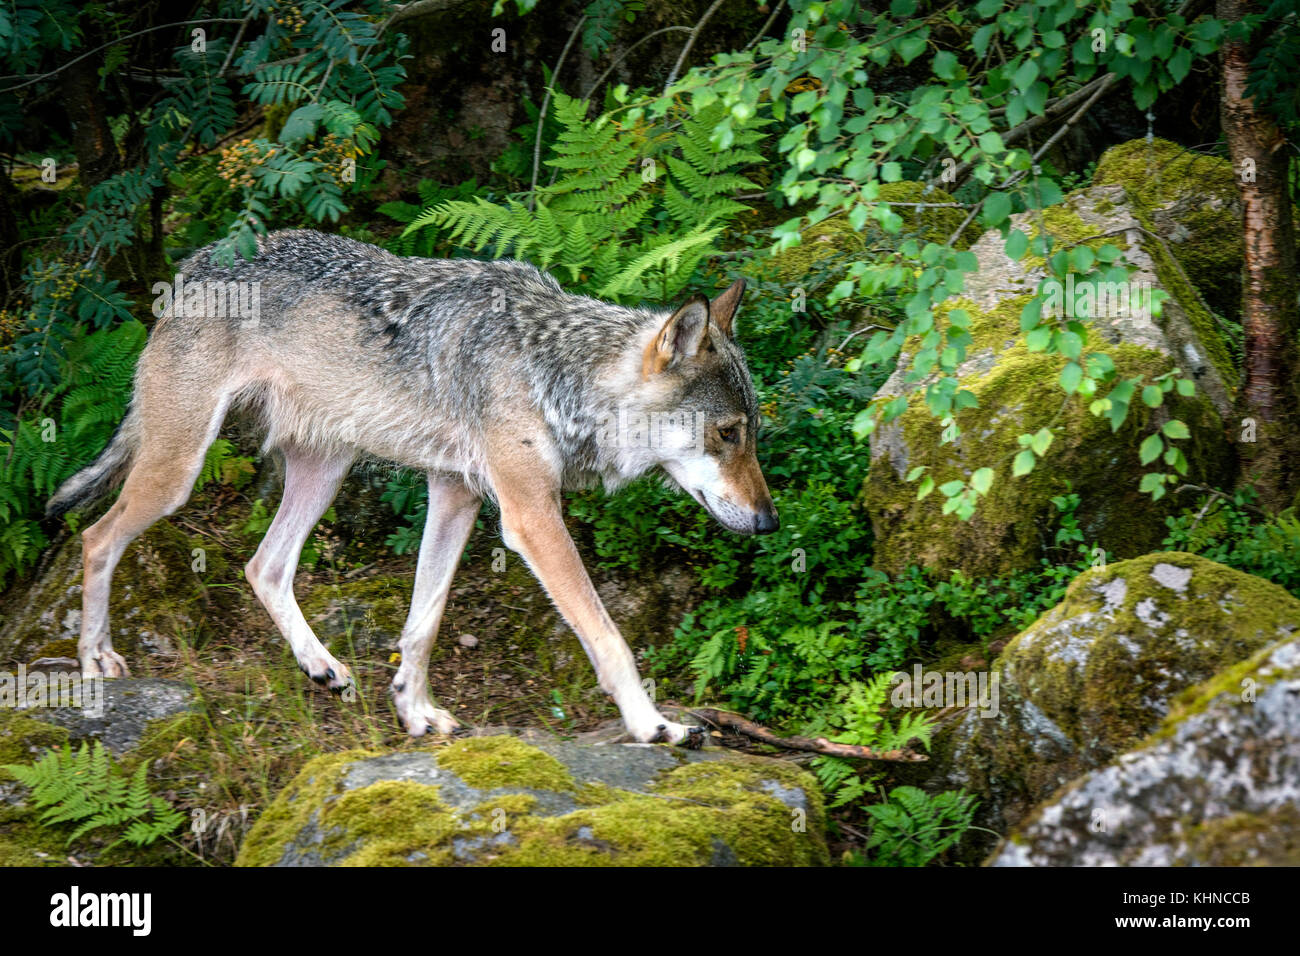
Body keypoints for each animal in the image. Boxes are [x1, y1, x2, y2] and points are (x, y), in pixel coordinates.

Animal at [47, 230, 778, 745]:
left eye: (751, 432)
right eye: (728, 433)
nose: (771, 525)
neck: (554, 372)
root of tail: (198, 261)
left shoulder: (456, 496)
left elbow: (423, 624)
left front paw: (416, 711)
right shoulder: (530, 516)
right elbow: (608, 636)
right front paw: (655, 725)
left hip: (325, 471)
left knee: (263, 566)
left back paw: (322, 666)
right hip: (178, 473)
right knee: (95, 537)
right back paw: (95, 661)